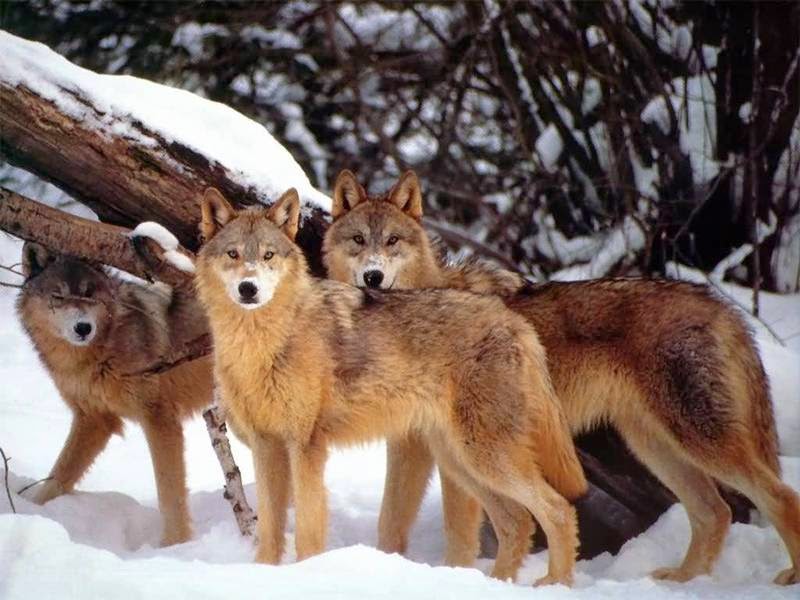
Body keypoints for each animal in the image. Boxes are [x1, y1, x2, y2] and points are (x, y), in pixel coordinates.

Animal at [16, 242, 214, 545]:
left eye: (89, 294)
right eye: (58, 296)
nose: (83, 328)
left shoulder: (160, 419)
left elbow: (170, 492)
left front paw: (174, 545)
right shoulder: (94, 420)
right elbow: (57, 477)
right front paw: (33, 511)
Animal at [193, 186, 587, 585]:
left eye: (268, 255)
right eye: (233, 254)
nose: (248, 288)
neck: (263, 345)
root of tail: (513, 320)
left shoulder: (306, 448)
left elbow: (307, 529)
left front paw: (307, 573)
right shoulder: (266, 447)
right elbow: (270, 532)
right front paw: (264, 574)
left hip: (485, 457)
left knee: (558, 508)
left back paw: (555, 583)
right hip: (460, 461)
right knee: (517, 521)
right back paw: (496, 583)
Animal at [322, 169, 800, 586]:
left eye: (393, 241)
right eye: (358, 240)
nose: (373, 276)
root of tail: (718, 303)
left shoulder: (442, 457)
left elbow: (458, 532)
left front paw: (456, 575)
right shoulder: (413, 446)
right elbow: (390, 523)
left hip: (698, 441)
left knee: (778, 496)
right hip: (654, 446)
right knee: (715, 512)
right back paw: (684, 580)